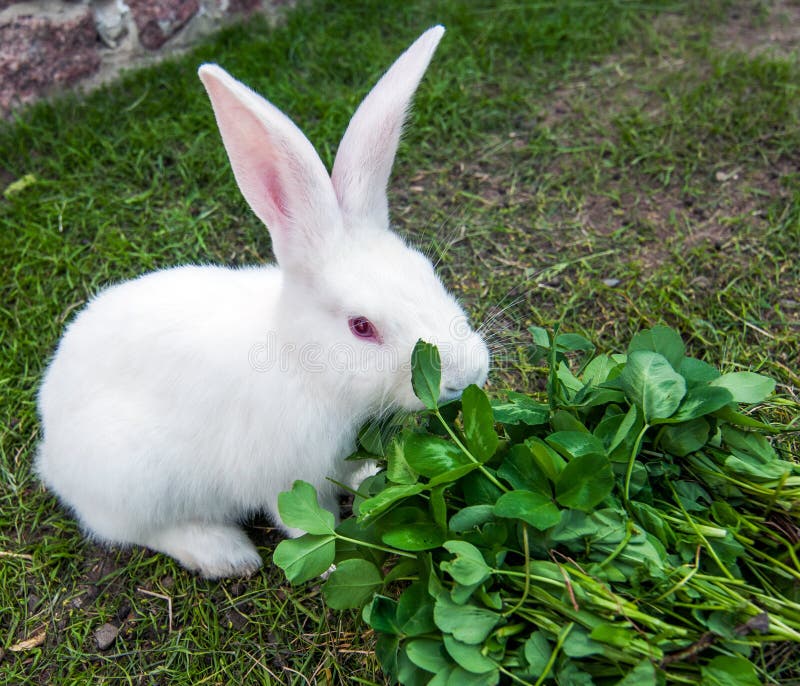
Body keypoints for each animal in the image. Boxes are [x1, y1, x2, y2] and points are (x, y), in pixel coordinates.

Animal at [35, 25, 490, 579]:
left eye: (428, 273)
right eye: (361, 326)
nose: (469, 374)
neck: (307, 368)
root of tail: (53, 452)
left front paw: (370, 478)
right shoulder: (284, 473)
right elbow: (305, 520)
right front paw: (331, 568)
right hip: (136, 477)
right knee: (133, 529)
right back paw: (224, 553)